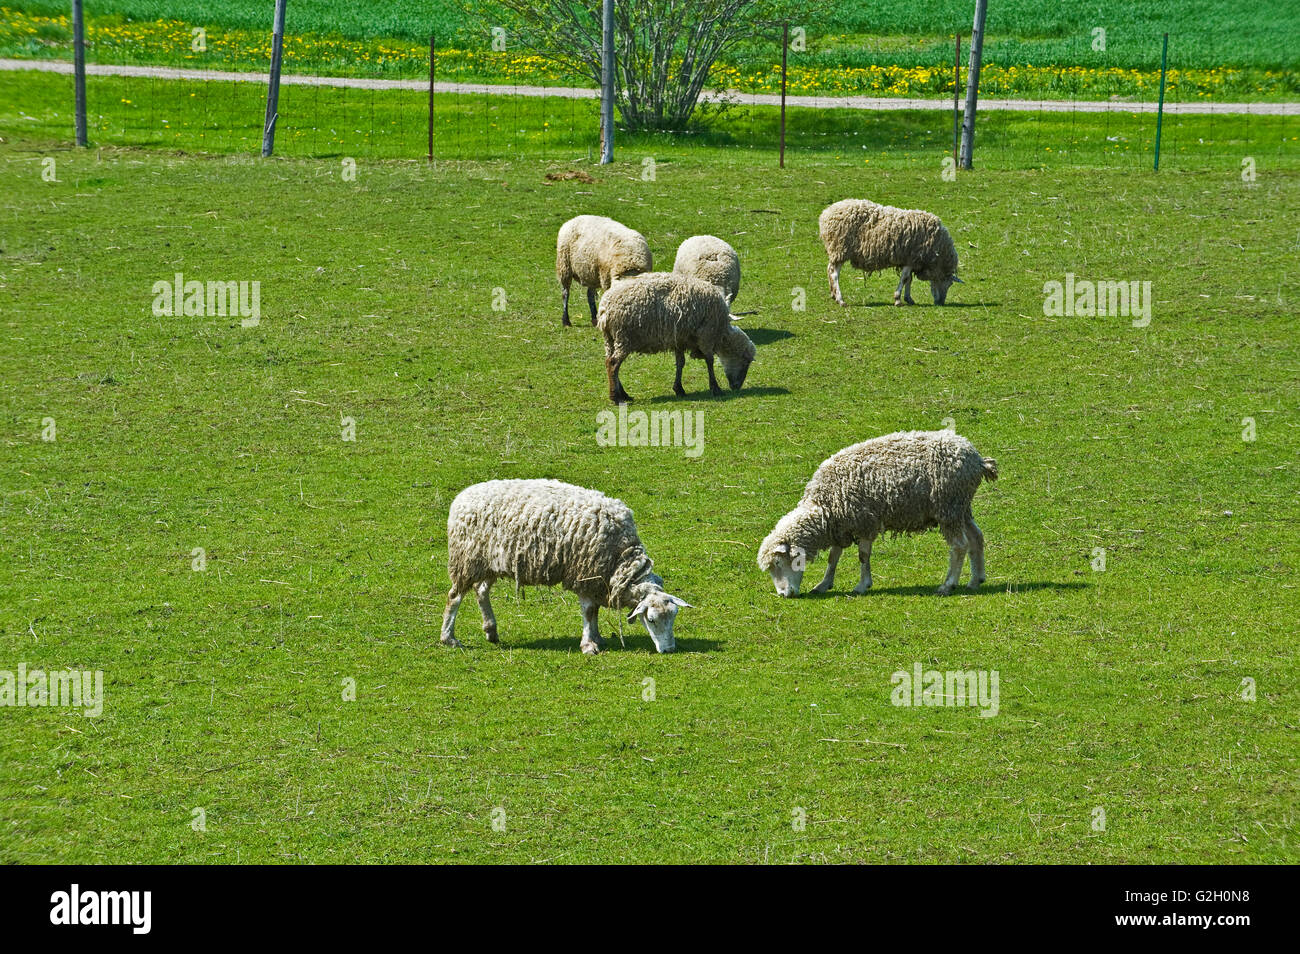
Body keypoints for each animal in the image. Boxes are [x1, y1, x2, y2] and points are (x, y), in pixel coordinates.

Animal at [442, 478, 691, 654]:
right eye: (651, 619)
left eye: (674, 617)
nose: (669, 650)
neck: (620, 556)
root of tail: (461, 498)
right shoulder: (584, 573)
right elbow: (589, 611)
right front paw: (589, 645)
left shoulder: (596, 579)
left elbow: (595, 611)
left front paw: (597, 637)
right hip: (466, 558)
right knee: (455, 596)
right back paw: (449, 638)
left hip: (488, 562)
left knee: (481, 591)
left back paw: (491, 631)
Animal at [596, 272, 756, 404]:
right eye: (745, 361)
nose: (736, 387)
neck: (720, 333)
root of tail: (605, 309)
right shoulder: (706, 334)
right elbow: (709, 360)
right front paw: (715, 388)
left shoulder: (679, 340)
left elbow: (680, 363)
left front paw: (679, 389)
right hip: (624, 337)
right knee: (613, 364)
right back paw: (616, 397)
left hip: (611, 339)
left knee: (609, 362)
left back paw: (623, 394)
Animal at [757, 430, 997, 598]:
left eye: (779, 563)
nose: (783, 594)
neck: (824, 507)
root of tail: (977, 460)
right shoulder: (841, 525)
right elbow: (834, 557)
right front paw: (823, 584)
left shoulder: (864, 522)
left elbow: (863, 556)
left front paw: (862, 585)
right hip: (961, 508)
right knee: (976, 538)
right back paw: (975, 580)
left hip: (949, 507)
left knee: (959, 546)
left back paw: (948, 585)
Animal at [818, 199, 961, 307]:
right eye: (949, 283)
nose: (940, 302)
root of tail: (825, 214)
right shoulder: (910, 258)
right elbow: (904, 278)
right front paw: (898, 300)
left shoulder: (910, 260)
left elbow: (909, 279)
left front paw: (908, 298)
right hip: (840, 248)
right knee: (834, 274)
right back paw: (840, 300)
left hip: (836, 251)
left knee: (829, 269)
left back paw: (833, 294)